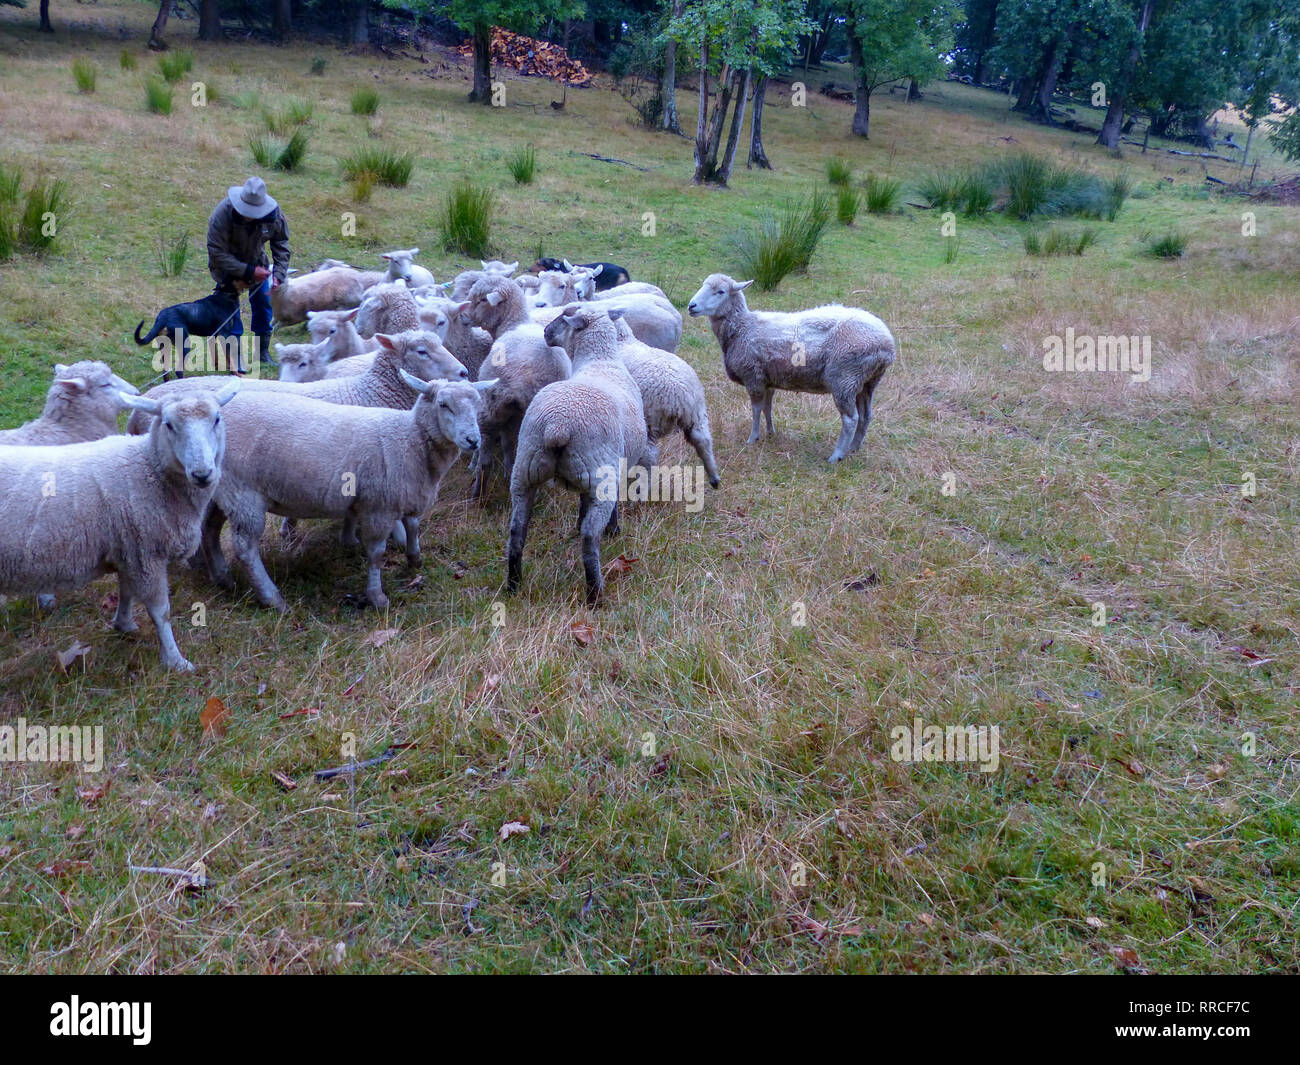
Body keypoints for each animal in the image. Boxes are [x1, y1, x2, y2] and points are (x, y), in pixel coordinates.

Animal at [0, 383, 238, 671]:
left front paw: (124, 624)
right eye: (168, 424)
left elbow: (126, 591)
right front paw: (175, 661)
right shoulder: (146, 551)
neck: (149, 468)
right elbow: (161, 612)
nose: (202, 474)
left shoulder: (129, 547)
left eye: (217, 419)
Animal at [197, 374, 493, 611]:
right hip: (243, 493)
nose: (473, 440)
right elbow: (376, 554)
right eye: (443, 404)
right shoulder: (379, 506)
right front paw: (377, 597)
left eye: (478, 404)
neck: (411, 439)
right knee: (245, 548)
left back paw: (222, 578)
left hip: (221, 492)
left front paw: (414, 558)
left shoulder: (406, 492)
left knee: (209, 530)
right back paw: (273, 598)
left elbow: (413, 525)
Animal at [507, 304, 650, 606]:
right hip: (600, 473)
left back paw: (513, 584)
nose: (545, 332)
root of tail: (557, 426)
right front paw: (613, 530)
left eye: (563, 317)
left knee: (516, 530)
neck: (600, 362)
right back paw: (595, 593)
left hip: (524, 470)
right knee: (589, 536)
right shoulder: (614, 470)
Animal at [610, 316, 720, 489]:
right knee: (704, 441)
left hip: (648, 420)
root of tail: (677, 397)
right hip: (697, 414)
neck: (622, 341)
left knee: (649, 455)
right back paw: (714, 477)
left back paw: (640, 488)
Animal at [687, 273, 895, 463]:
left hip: (844, 378)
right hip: (866, 382)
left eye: (720, 291)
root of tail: (887, 343)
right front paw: (770, 432)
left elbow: (756, 409)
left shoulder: (753, 376)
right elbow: (767, 407)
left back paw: (836, 456)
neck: (742, 327)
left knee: (850, 419)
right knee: (866, 416)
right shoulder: (768, 379)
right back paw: (853, 448)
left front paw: (753, 438)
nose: (691, 306)